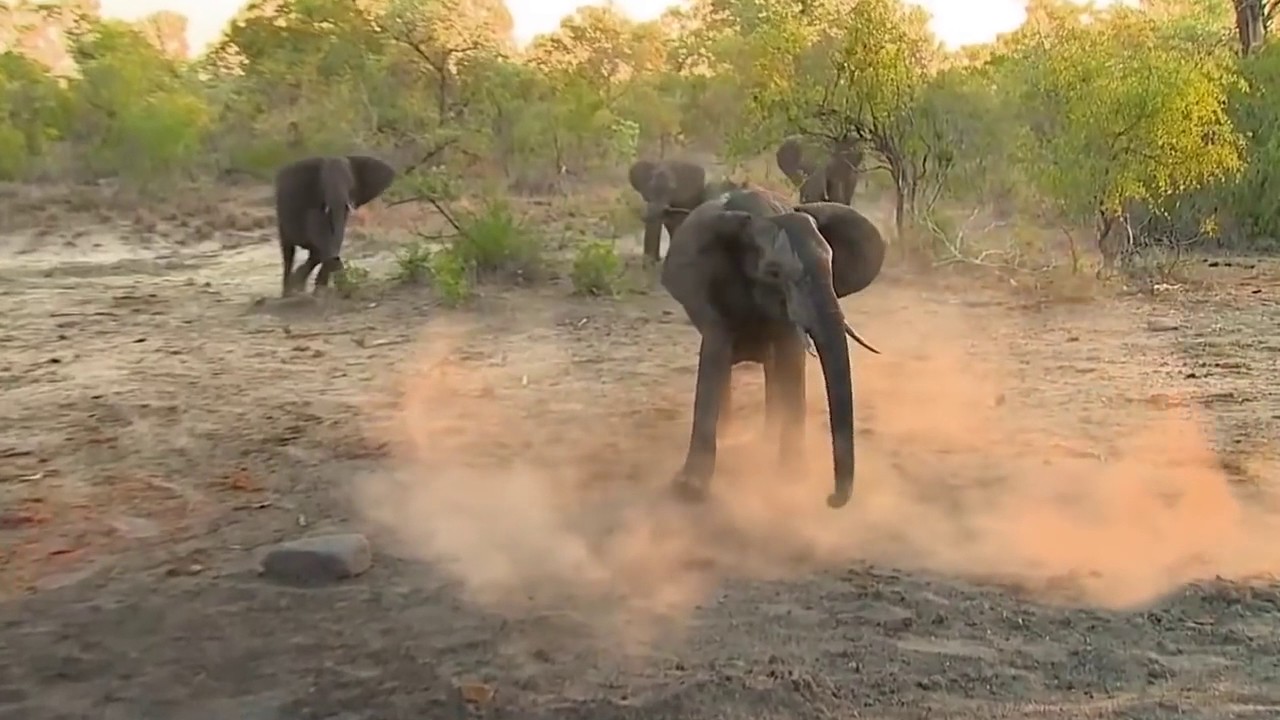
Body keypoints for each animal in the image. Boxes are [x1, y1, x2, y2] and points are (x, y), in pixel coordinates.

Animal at [273, 154, 396, 297]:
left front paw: (319, 289)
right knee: (288, 253)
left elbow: (332, 241)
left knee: (312, 253)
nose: (335, 257)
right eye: (323, 185)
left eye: (351, 186)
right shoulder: (312, 204)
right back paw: (288, 291)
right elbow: (319, 236)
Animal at [660, 186, 886, 509]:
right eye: (774, 273)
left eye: (831, 267)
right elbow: (714, 357)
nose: (830, 498)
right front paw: (689, 489)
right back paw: (731, 434)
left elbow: (791, 359)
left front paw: (792, 478)